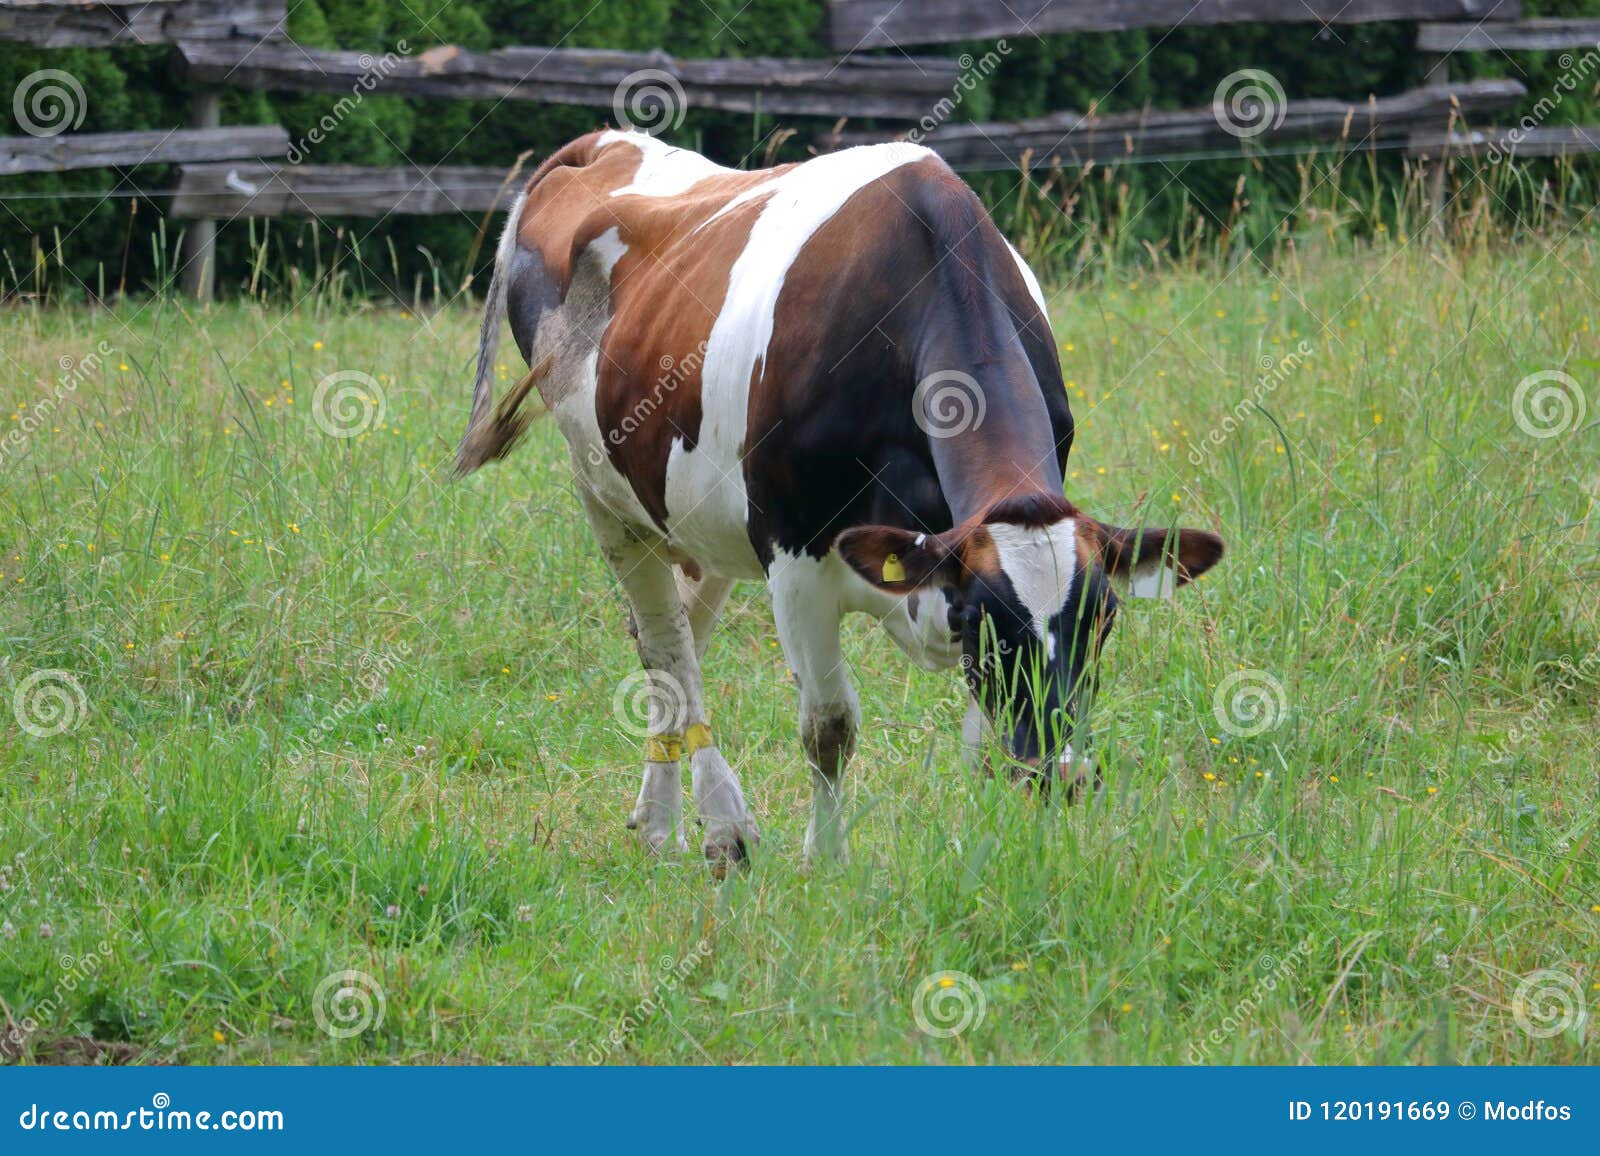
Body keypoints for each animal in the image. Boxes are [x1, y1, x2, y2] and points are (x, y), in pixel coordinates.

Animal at [457, 130, 1223, 866]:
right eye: (982, 619)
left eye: (1105, 618)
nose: (1060, 773)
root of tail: (598, 145)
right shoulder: (795, 560)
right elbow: (829, 726)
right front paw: (826, 860)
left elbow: (980, 746)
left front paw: (995, 845)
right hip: (608, 499)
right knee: (669, 653)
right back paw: (724, 827)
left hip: (699, 520)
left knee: (674, 641)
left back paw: (658, 823)